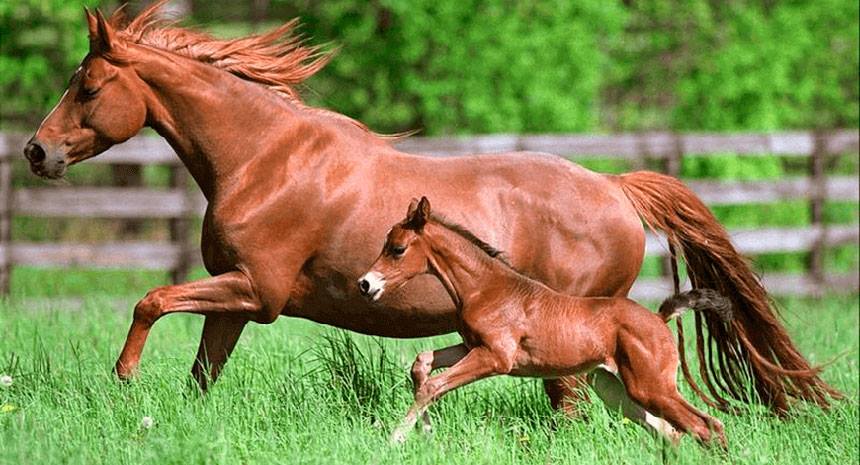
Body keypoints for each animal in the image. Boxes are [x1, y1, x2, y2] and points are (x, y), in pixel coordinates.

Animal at [23, 3, 836, 416]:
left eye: (87, 86)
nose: (36, 151)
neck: (263, 159)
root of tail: (616, 188)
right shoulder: (236, 297)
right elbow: (201, 373)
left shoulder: (258, 290)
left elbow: (151, 298)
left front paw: (123, 376)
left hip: (569, 332)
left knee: (568, 403)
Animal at [358, 197, 730, 445]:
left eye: (398, 249)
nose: (365, 284)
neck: (484, 287)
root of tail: (658, 318)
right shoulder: (471, 346)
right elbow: (422, 364)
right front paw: (426, 430)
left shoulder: (496, 357)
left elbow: (434, 385)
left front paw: (397, 438)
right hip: (616, 389)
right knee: (670, 432)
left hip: (652, 387)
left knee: (707, 426)